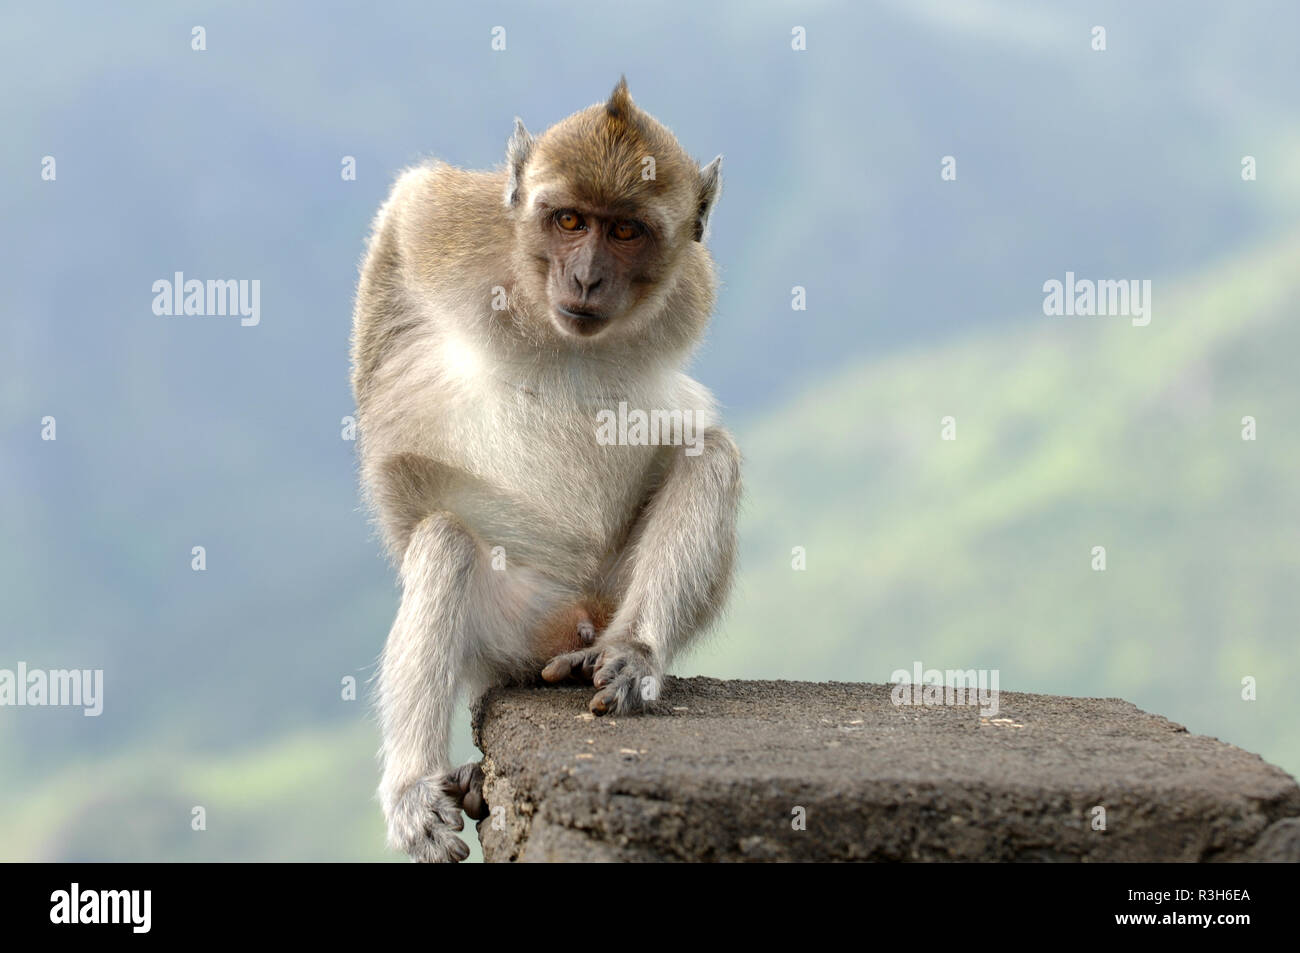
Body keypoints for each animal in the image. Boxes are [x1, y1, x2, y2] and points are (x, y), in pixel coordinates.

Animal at [349, 78, 740, 863]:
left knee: (710, 456)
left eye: (625, 232)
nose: (585, 277)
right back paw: (415, 785)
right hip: (511, 625)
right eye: (568, 220)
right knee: (444, 543)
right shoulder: (455, 231)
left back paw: (629, 655)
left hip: (612, 590)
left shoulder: (694, 279)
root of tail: (575, 622)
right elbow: (406, 213)